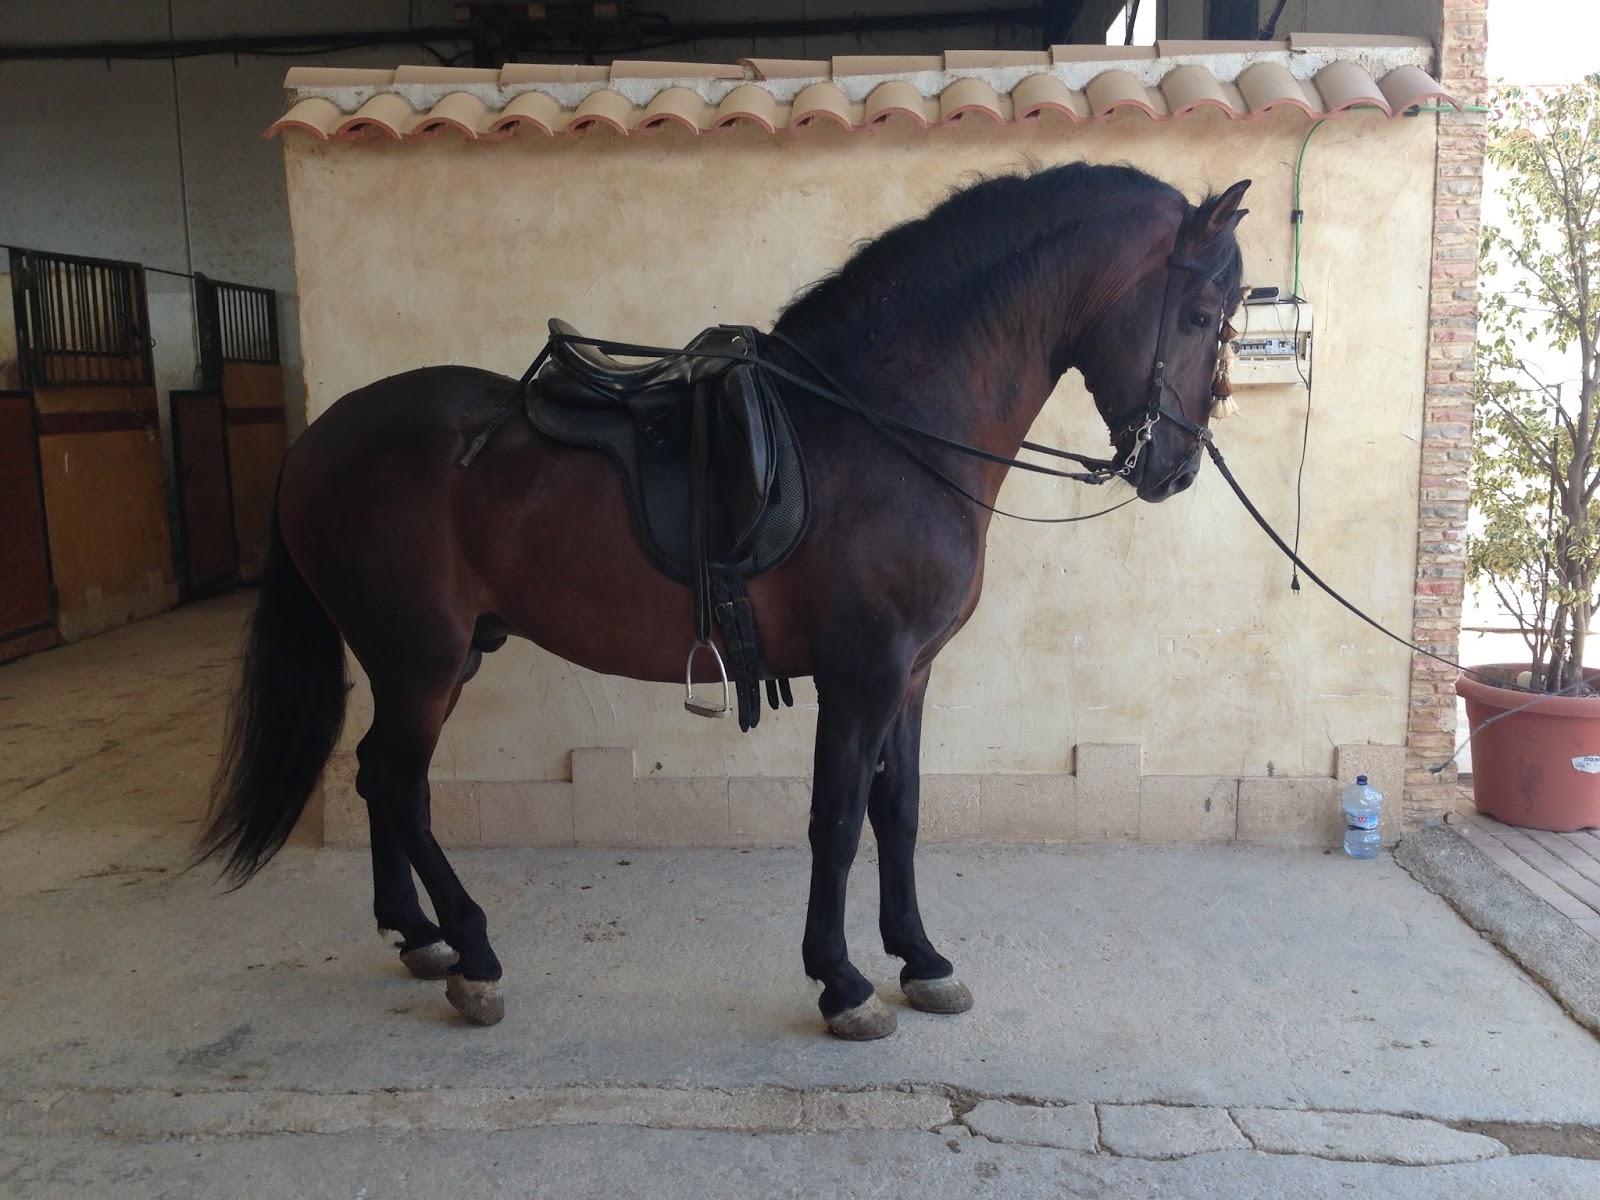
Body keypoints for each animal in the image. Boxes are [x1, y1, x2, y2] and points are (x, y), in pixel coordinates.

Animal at [198, 162, 1249, 1040]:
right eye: (1201, 314)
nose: (1177, 467)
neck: (886, 425)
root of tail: (319, 436)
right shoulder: (862, 673)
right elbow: (836, 818)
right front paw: (843, 982)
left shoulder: (911, 675)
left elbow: (899, 811)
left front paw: (921, 959)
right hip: (417, 656)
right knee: (398, 783)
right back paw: (476, 953)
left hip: (439, 656)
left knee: (382, 778)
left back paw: (420, 937)